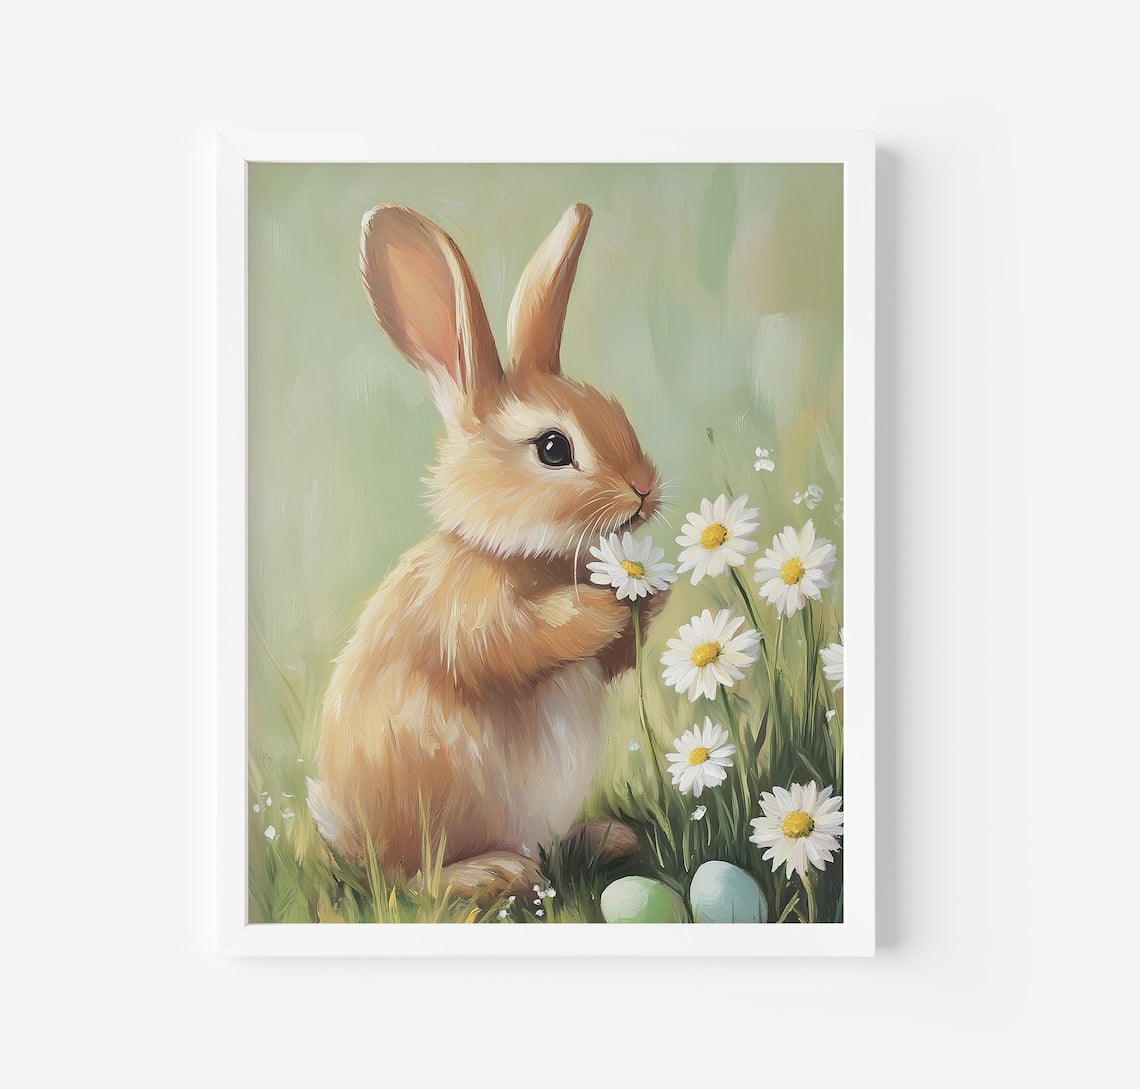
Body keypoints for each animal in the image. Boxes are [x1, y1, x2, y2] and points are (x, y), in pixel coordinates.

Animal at [307, 202, 666, 903]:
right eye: (553, 448)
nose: (643, 490)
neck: (522, 552)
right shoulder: (465, 609)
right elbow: (513, 642)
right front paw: (605, 606)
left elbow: (613, 660)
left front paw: (651, 596)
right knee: (413, 880)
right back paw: (489, 873)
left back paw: (602, 838)